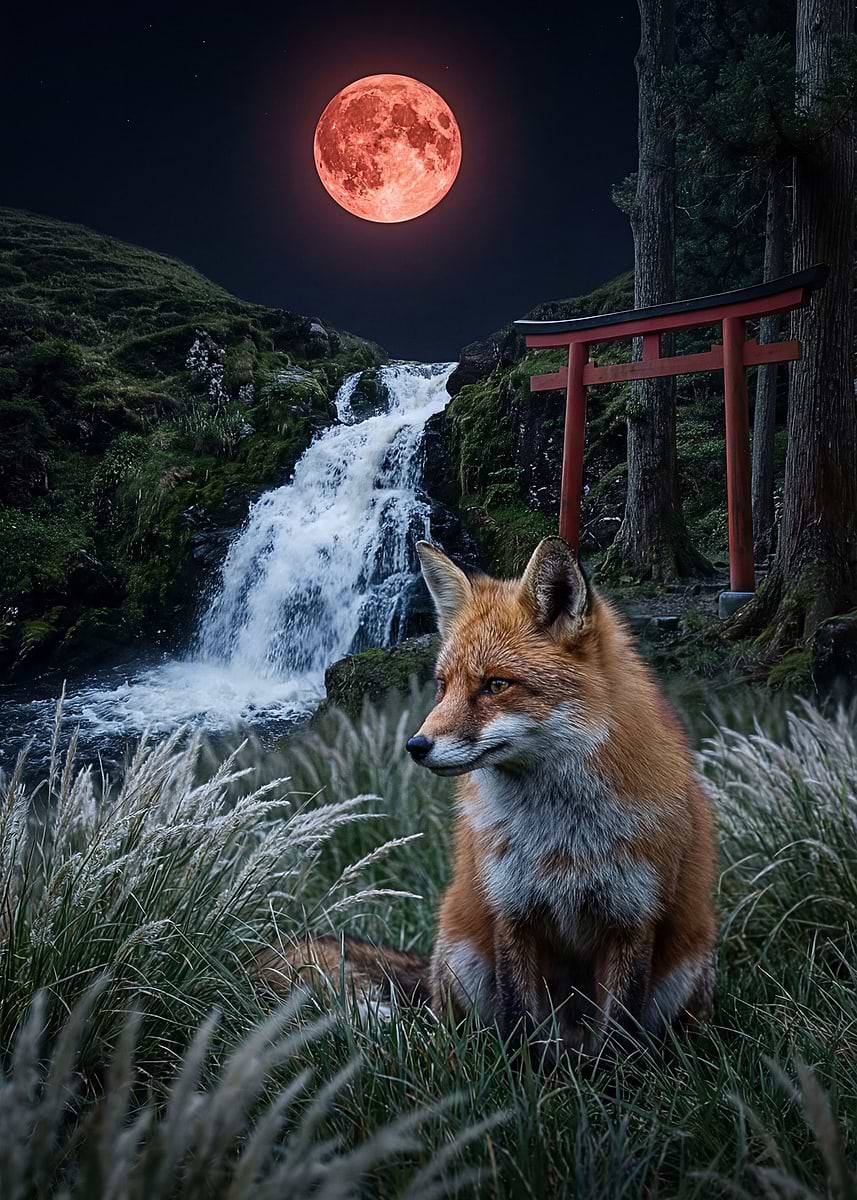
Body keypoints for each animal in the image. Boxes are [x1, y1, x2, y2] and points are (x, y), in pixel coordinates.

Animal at [259, 537, 718, 1056]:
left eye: (496, 684)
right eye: (442, 686)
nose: (416, 746)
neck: (561, 838)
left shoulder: (632, 918)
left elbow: (618, 1037)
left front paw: (616, 1076)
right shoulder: (511, 911)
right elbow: (518, 1023)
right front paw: (523, 1076)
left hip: (683, 971)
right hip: (461, 956)